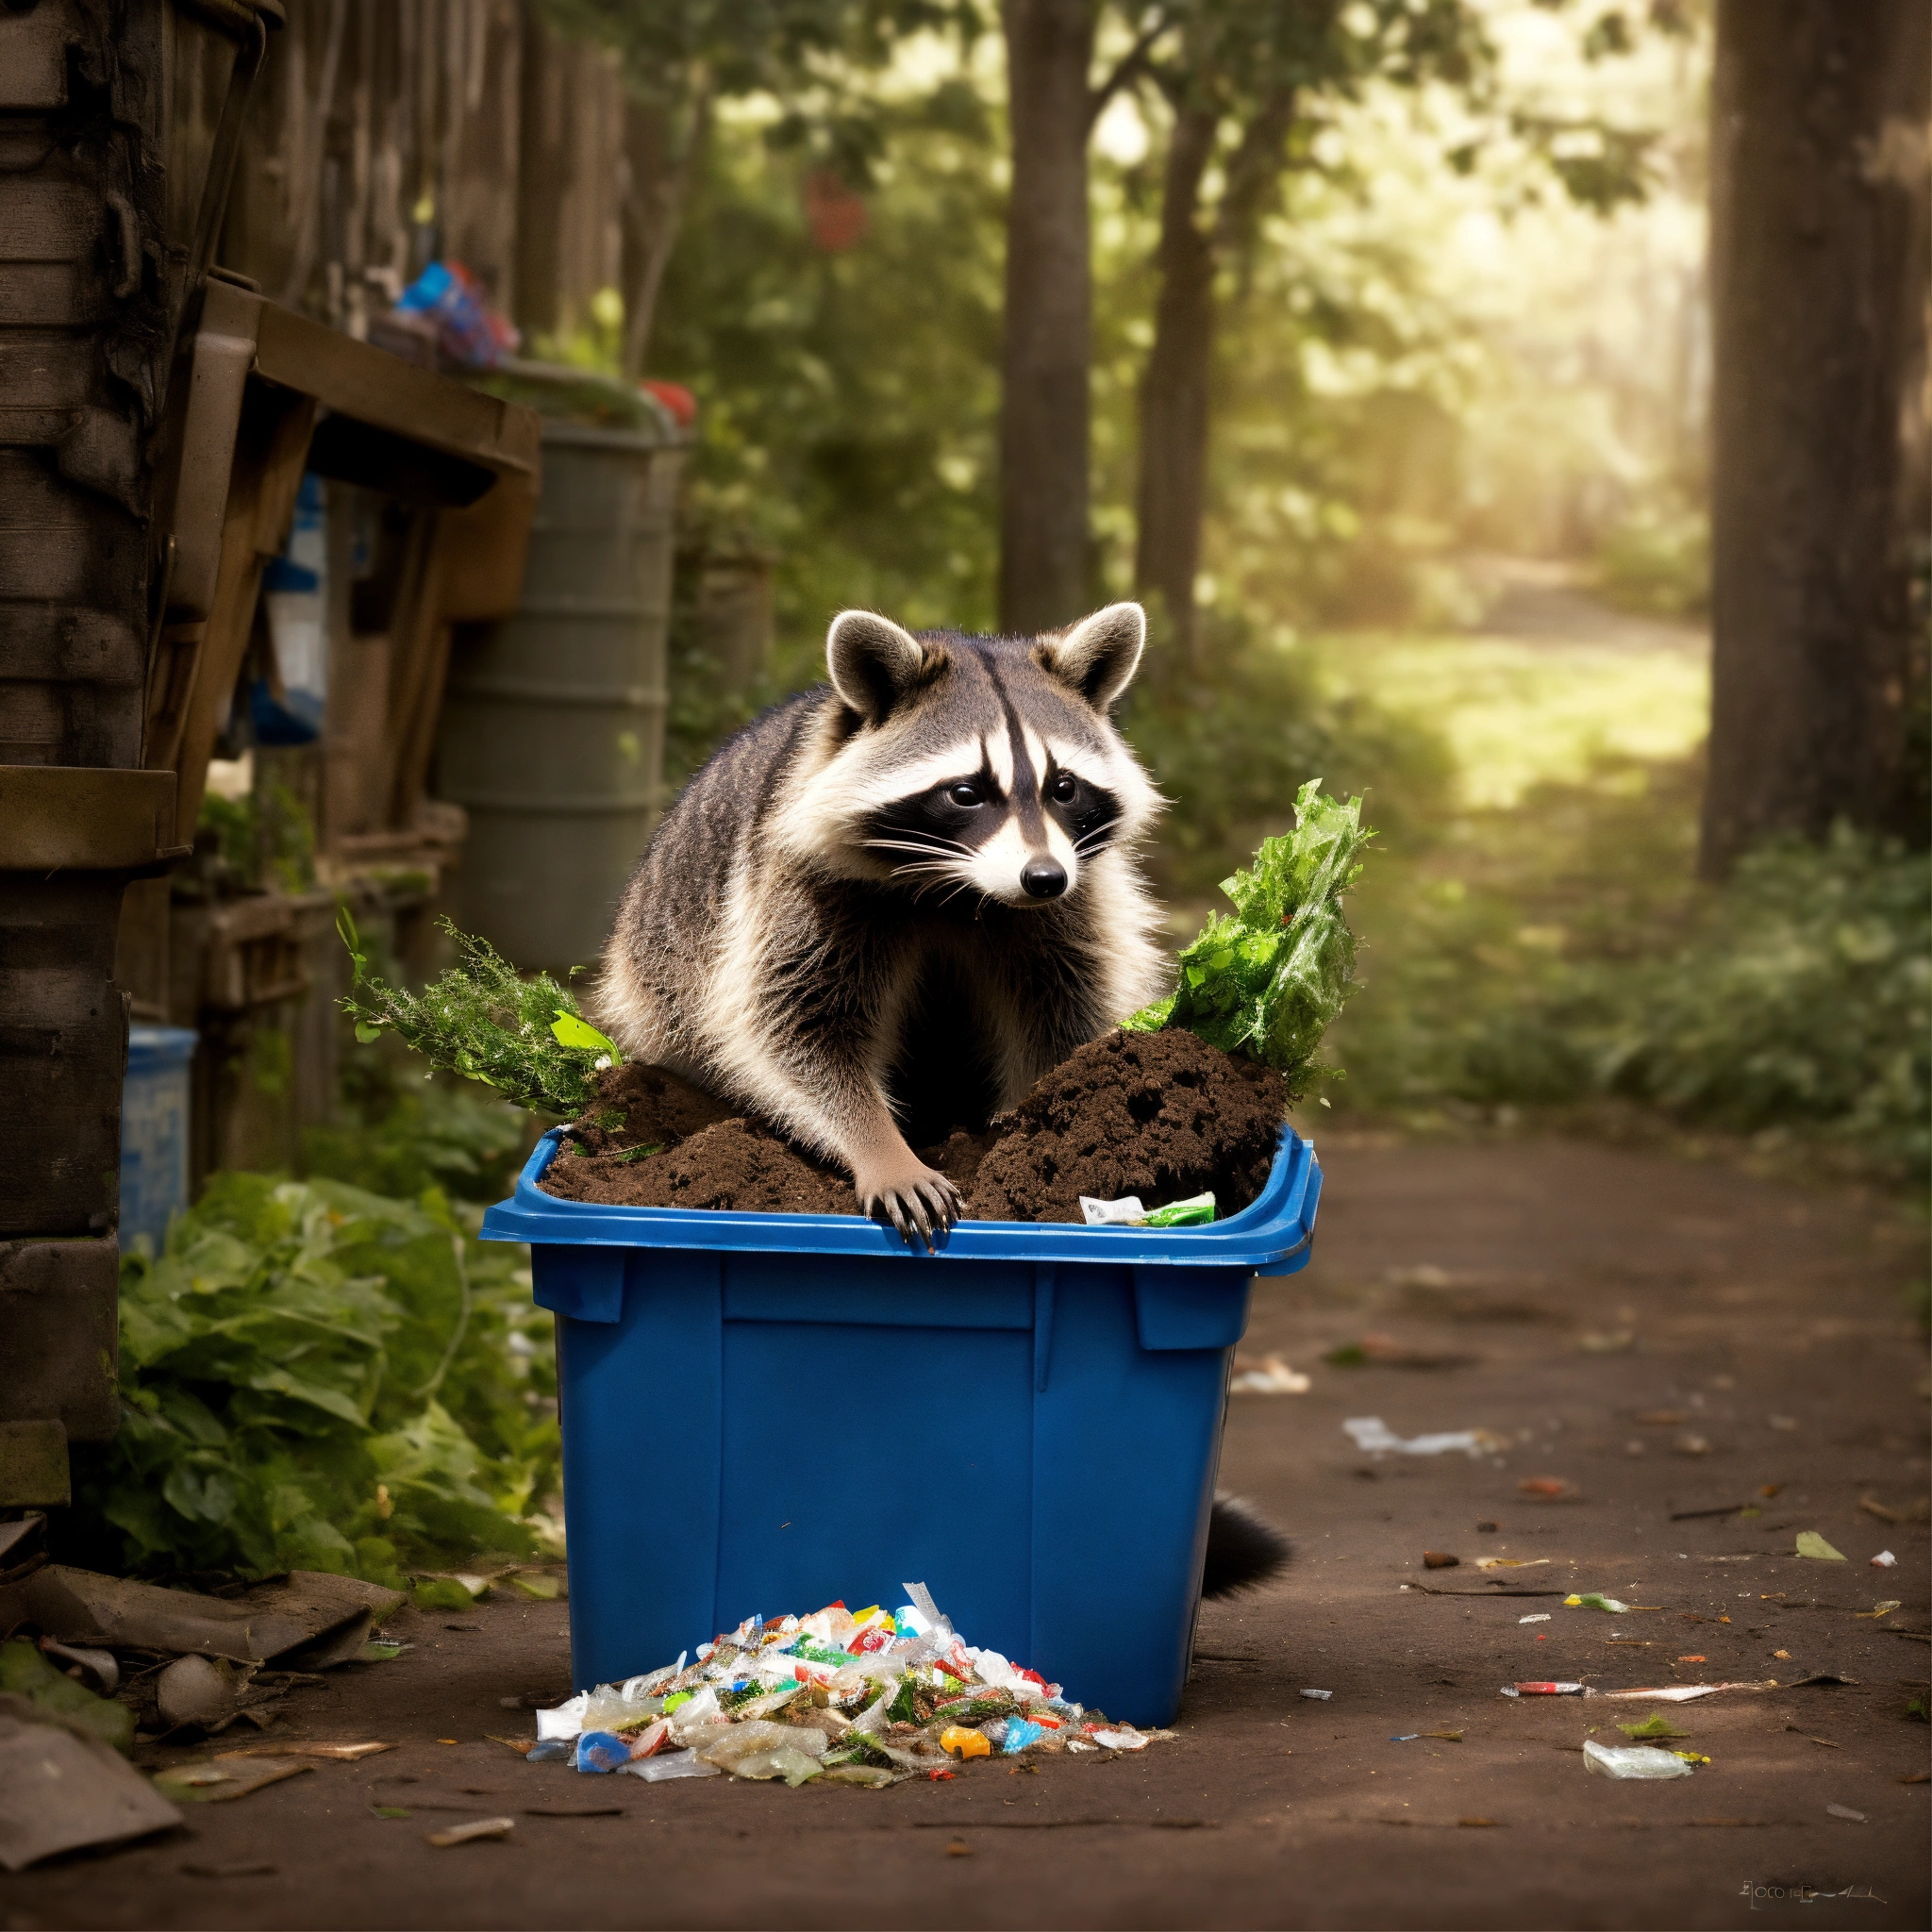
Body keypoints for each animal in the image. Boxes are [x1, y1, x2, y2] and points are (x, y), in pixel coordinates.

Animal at [594, 600, 1169, 1246]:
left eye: (1064, 787)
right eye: (966, 792)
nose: (1043, 878)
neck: (958, 890)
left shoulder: (1071, 905)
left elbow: (1062, 1013)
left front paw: (1038, 1124)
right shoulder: (800, 890)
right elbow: (796, 1029)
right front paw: (880, 1147)